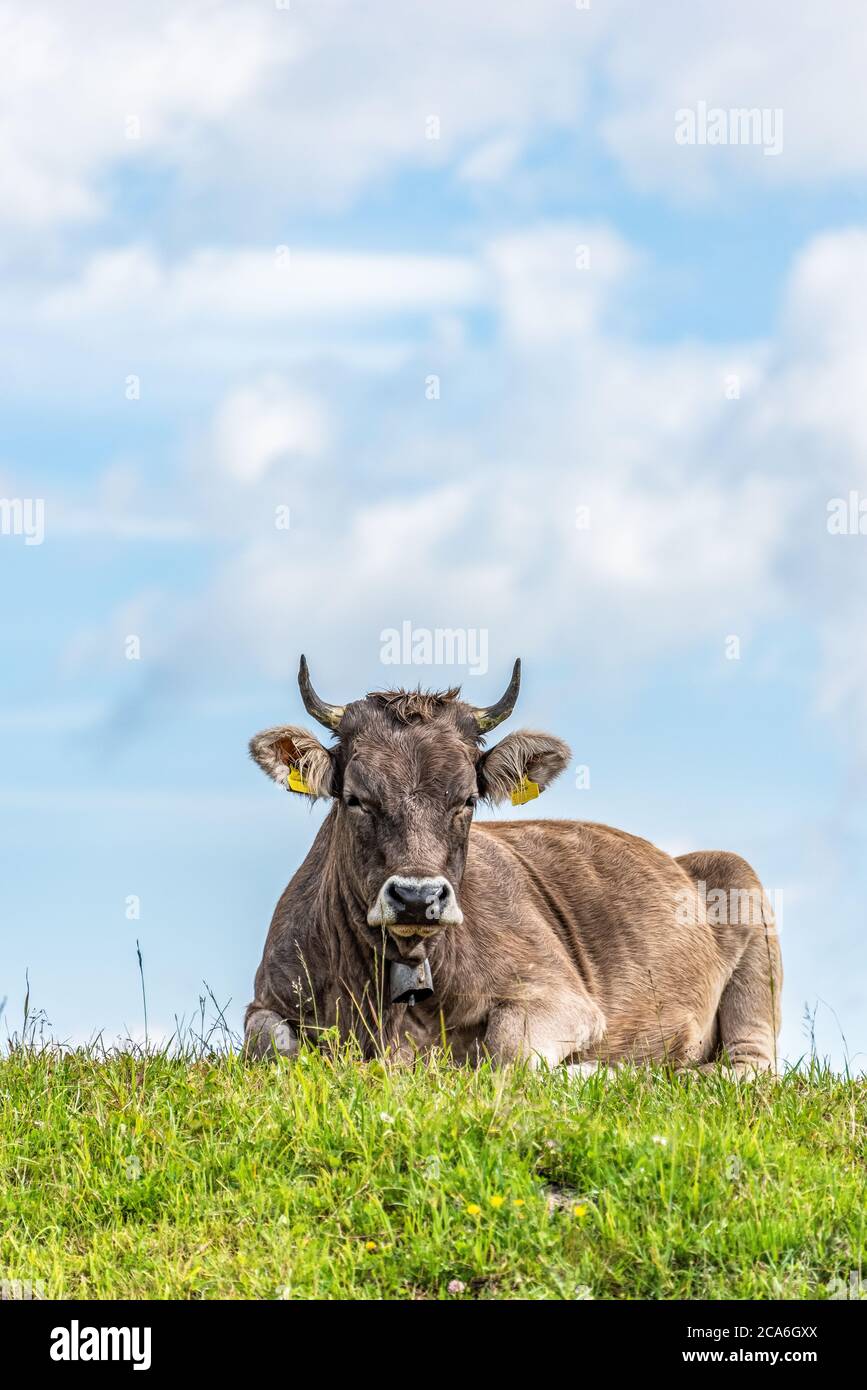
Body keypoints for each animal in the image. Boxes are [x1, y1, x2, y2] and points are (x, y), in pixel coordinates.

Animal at [244, 657, 781, 1075]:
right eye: (356, 798)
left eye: (466, 799)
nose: (417, 897)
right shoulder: (265, 1002)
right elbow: (270, 1044)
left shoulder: (562, 997)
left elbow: (508, 1050)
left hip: (744, 898)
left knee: (746, 1067)